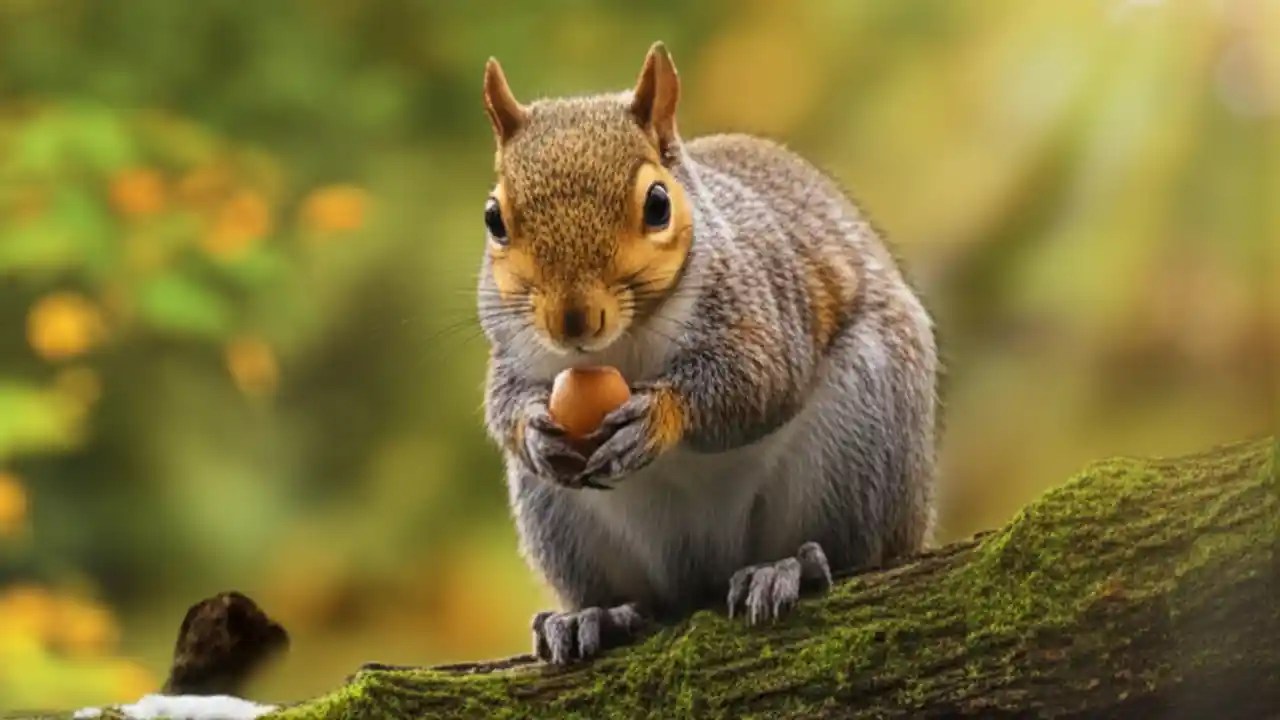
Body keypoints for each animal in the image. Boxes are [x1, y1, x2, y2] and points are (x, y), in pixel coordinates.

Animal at [478, 43, 938, 665]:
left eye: (657, 204)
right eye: (494, 218)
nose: (572, 320)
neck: (624, 342)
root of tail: (703, 575)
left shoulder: (764, 302)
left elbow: (759, 381)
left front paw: (658, 416)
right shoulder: (509, 344)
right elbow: (501, 401)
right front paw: (531, 430)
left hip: (862, 436)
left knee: (844, 551)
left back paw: (788, 568)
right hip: (563, 522)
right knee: (635, 596)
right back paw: (593, 616)